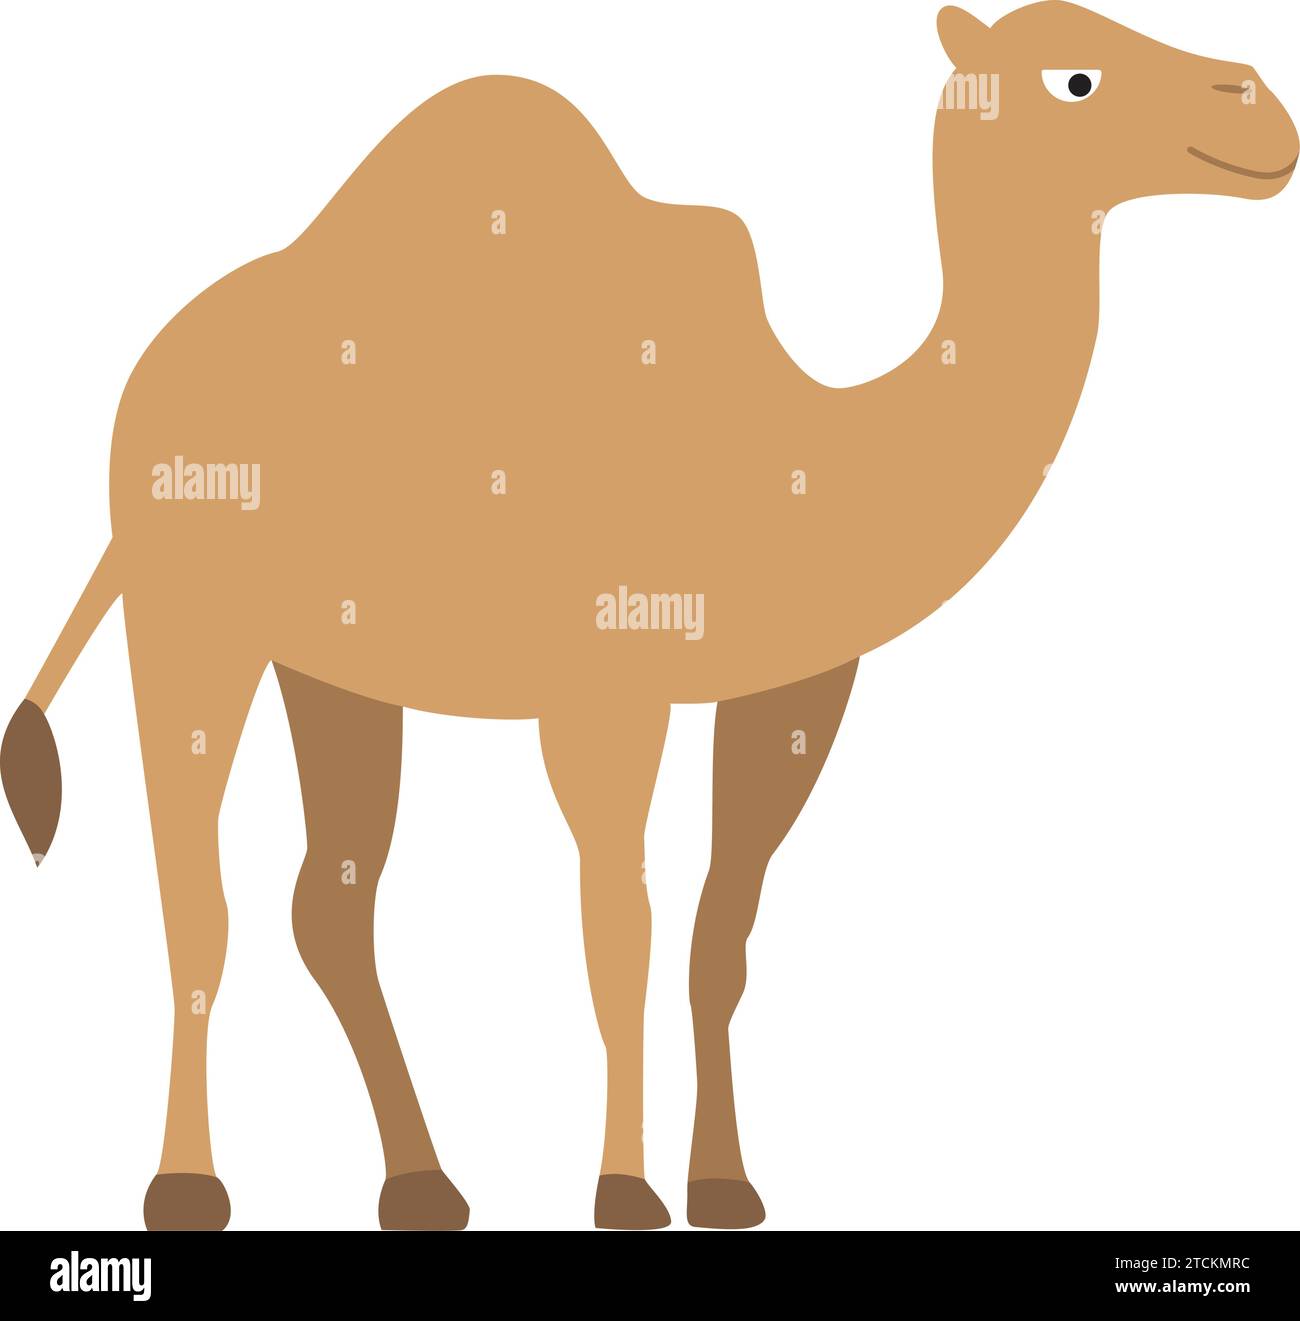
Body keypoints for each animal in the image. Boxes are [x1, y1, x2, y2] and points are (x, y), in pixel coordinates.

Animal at [2, 1, 1294, 1231]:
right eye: (1073, 76)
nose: (1259, 104)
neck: (810, 460)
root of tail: (143, 386)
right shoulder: (605, 679)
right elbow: (617, 931)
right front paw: (623, 1191)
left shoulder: (792, 682)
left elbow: (720, 934)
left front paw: (723, 1186)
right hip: (189, 606)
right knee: (195, 894)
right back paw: (187, 1187)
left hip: (333, 661)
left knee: (331, 897)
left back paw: (423, 1186)